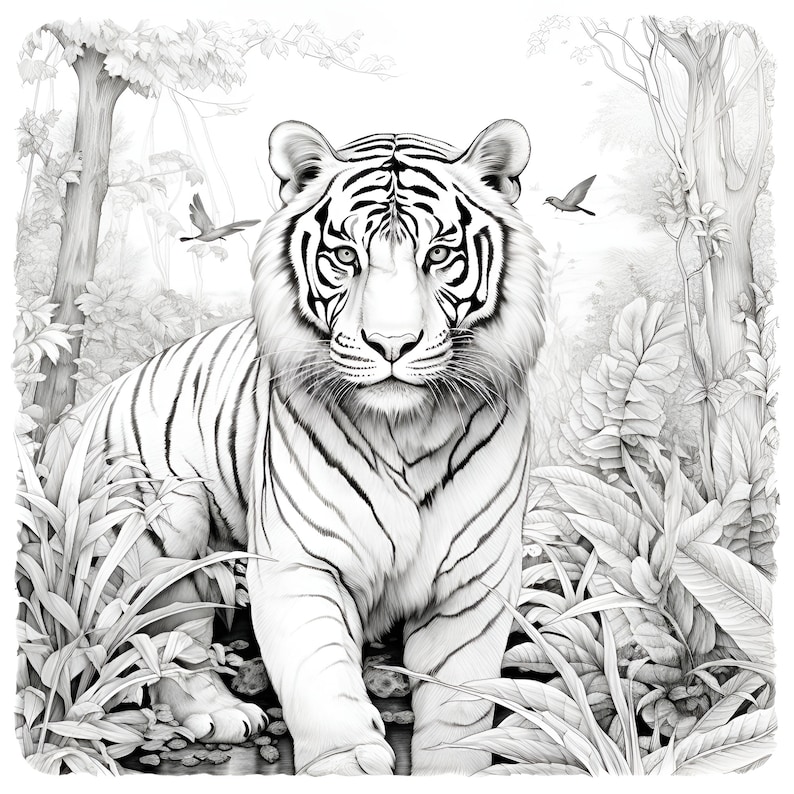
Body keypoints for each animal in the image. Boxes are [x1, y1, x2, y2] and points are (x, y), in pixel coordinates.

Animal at [38, 119, 545, 775]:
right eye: (346, 256)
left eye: (438, 255)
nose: (391, 344)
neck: (405, 430)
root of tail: (74, 419)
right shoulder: (301, 560)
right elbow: (319, 677)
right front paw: (345, 764)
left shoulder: (474, 579)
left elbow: (460, 703)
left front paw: (454, 766)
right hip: (158, 527)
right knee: (167, 632)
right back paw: (221, 714)